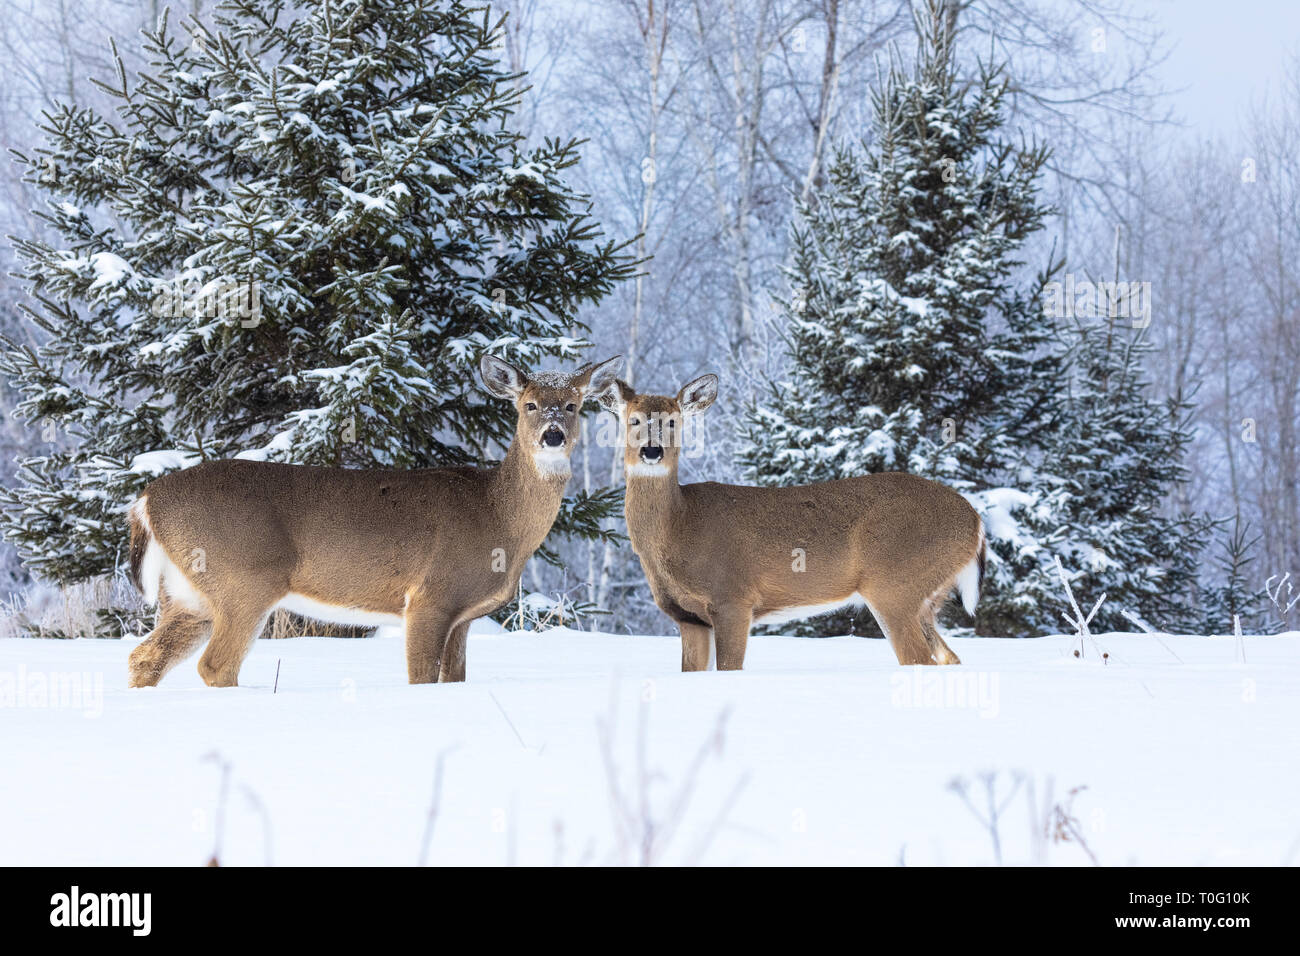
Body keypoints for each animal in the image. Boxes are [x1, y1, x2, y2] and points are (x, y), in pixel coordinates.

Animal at [125, 353, 622, 688]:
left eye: (574, 405)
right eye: (530, 404)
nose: (553, 435)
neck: (498, 516)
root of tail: (145, 500)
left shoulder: (463, 615)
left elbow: (454, 679)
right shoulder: (429, 596)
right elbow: (421, 678)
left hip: (188, 595)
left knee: (144, 658)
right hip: (244, 579)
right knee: (215, 665)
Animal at [598, 374, 985, 671]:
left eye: (673, 421)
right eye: (633, 420)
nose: (652, 451)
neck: (679, 527)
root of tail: (976, 521)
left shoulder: (733, 598)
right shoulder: (688, 618)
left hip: (894, 583)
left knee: (918, 659)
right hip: (927, 597)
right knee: (948, 658)